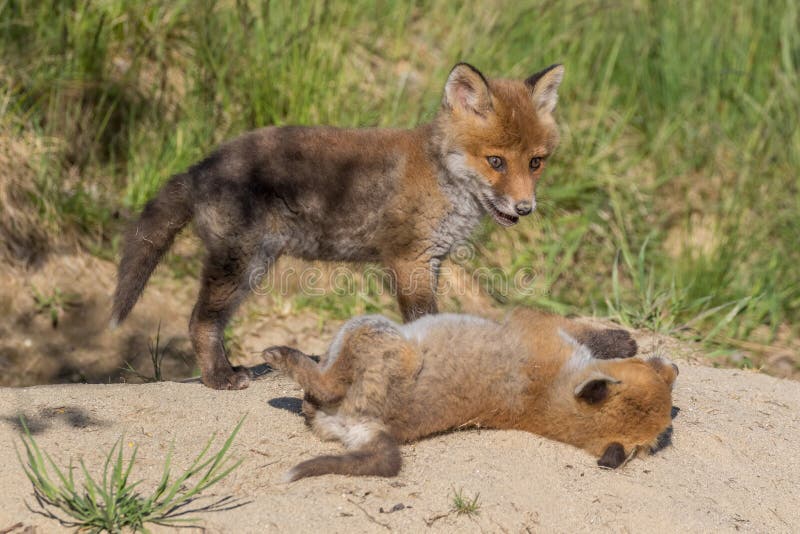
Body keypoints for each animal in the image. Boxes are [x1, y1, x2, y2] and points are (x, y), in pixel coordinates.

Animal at [111, 62, 565, 390]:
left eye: (535, 162)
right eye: (496, 162)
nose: (525, 208)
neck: (441, 176)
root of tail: (202, 166)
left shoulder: (431, 260)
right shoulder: (408, 260)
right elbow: (423, 320)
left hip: (251, 266)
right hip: (239, 265)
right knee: (200, 322)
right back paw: (219, 378)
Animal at [262, 309, 678, 481]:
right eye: (649, 371)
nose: (674, 368)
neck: (547, 396)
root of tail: (379, 426)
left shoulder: (534, 320)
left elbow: (582, 329)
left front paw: (614, 339)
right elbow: (593, 336)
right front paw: (625, 340)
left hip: (371, 327)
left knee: (324, 383)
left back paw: (281, 356)